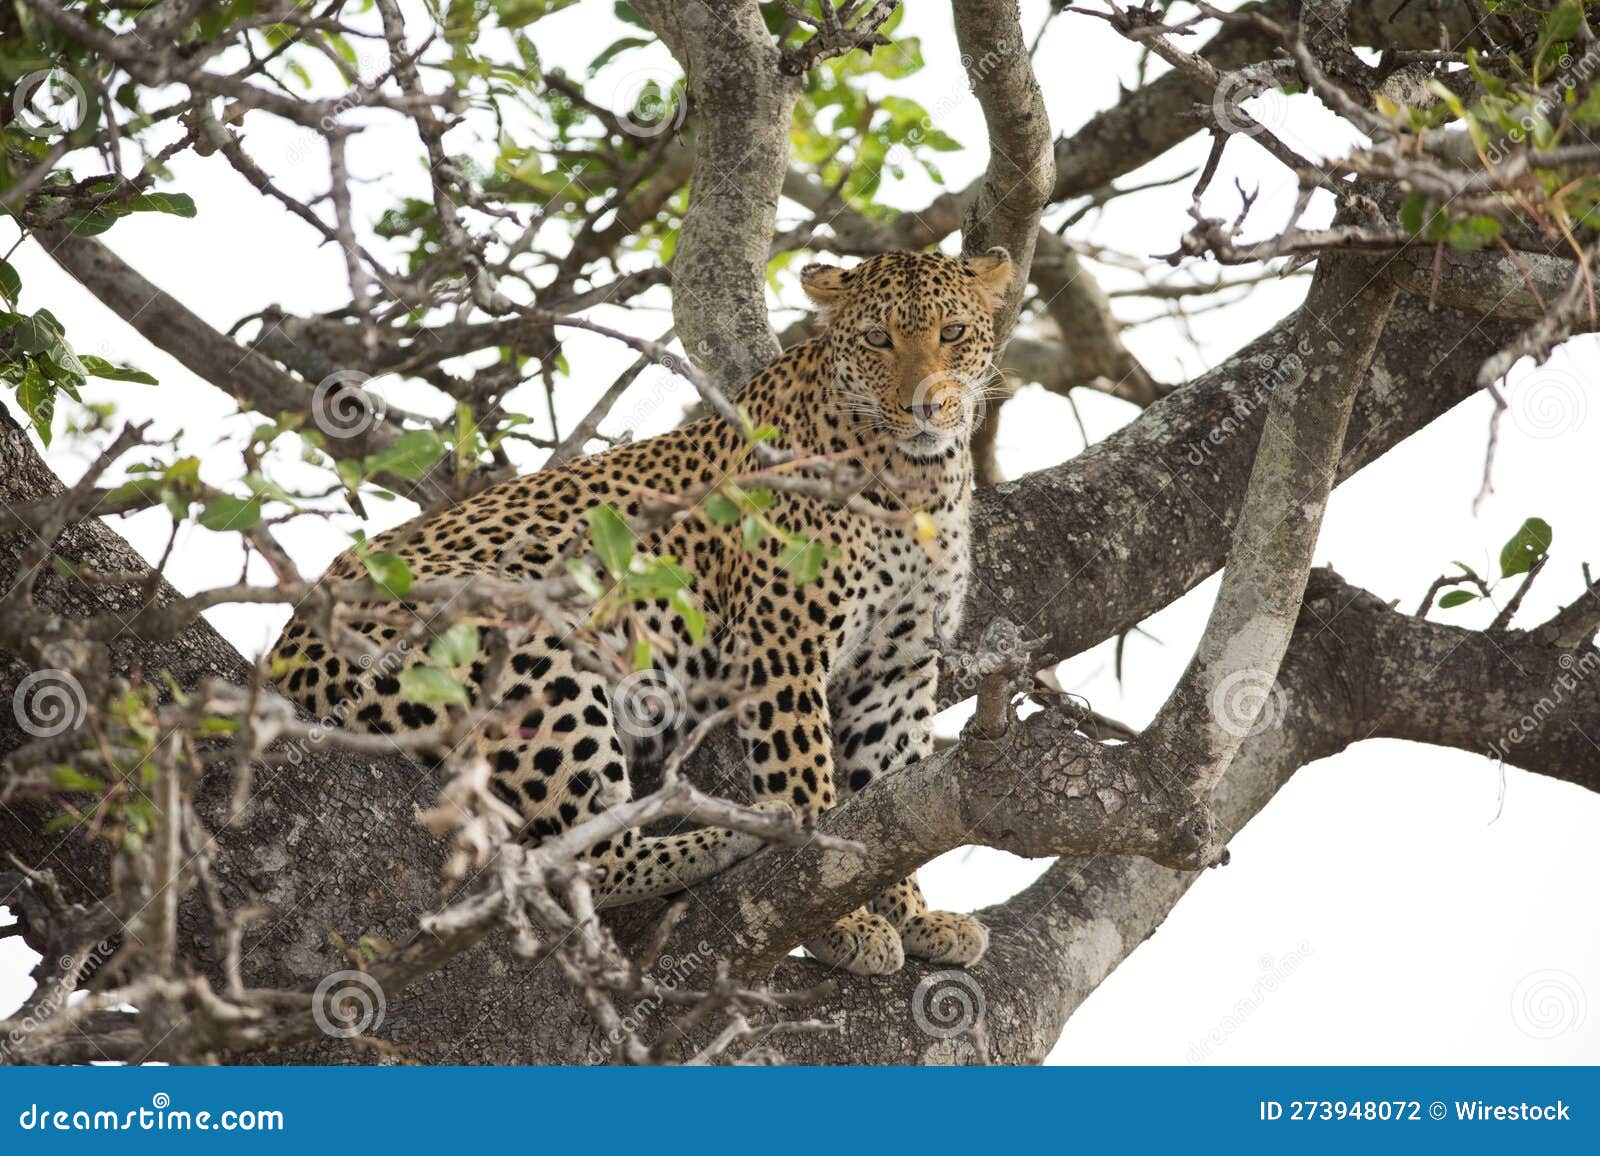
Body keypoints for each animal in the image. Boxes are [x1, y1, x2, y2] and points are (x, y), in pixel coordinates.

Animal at [269, 247, 1013, 976]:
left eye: (953, 333)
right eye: (878, 340)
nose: (926, 406)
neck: (918, 480)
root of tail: (285, 651)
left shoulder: (897, 663)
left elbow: (892, 792)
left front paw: (913, 915)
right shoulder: (784, 643)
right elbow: (809, 783)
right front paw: (843, 921)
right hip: (527, 646)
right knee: (588, 859)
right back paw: (729, 836)